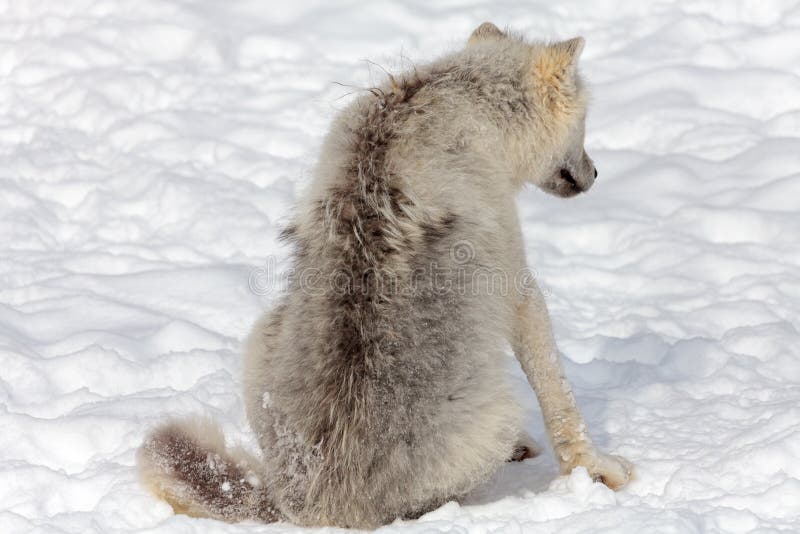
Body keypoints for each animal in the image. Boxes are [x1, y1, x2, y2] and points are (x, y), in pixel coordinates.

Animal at [138, 22, 632, 528]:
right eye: (586, 122)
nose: (596, 172)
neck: (454, 97)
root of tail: (307, 501)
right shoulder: (518, 284)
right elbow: (558, 393)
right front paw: (595, 471)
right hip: (495, 418)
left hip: (260, 336)